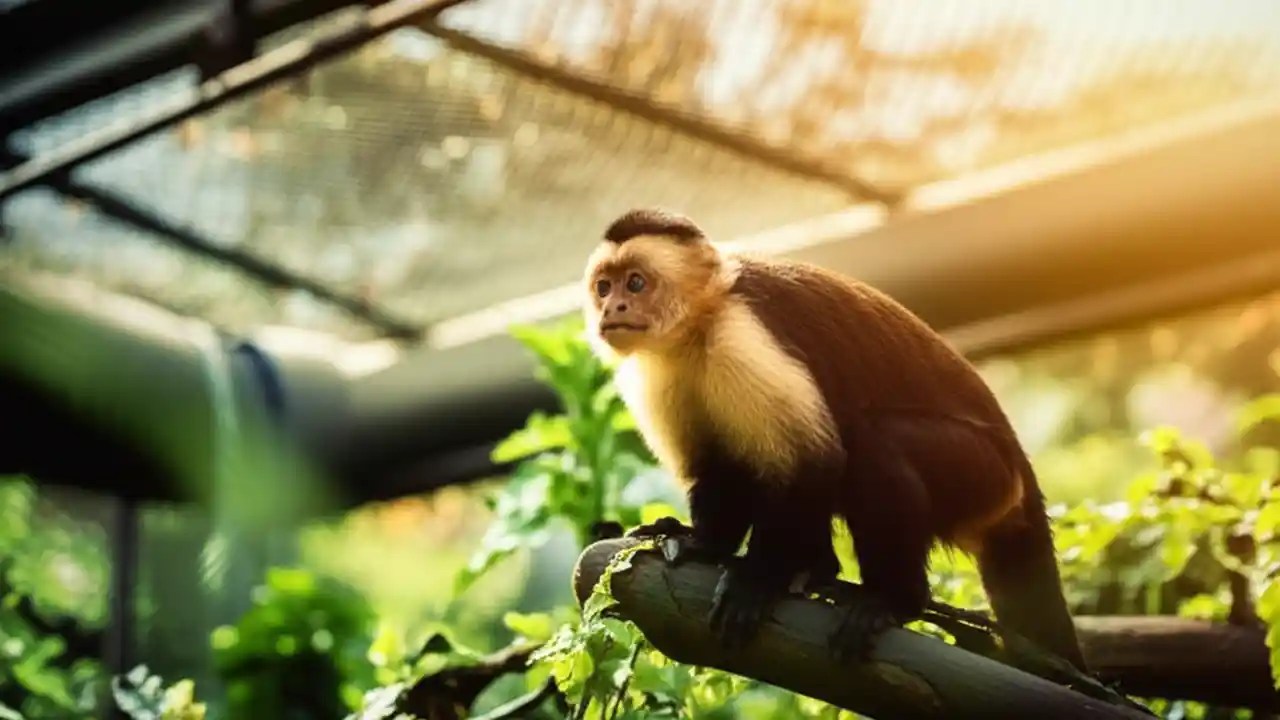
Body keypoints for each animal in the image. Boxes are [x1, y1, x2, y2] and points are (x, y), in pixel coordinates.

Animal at [580, 207, 1088, 670]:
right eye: (605, 287)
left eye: (636, 284)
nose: (612, 310)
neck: (701, 322)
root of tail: (1020, 471)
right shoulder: (663, 370)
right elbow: (718, 467)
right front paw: (704, 543)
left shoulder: (744, 338)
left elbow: (810, 461)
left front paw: (759, 576)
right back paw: (819, 569)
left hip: (983, 476)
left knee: (871, 443)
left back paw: (893, 598)